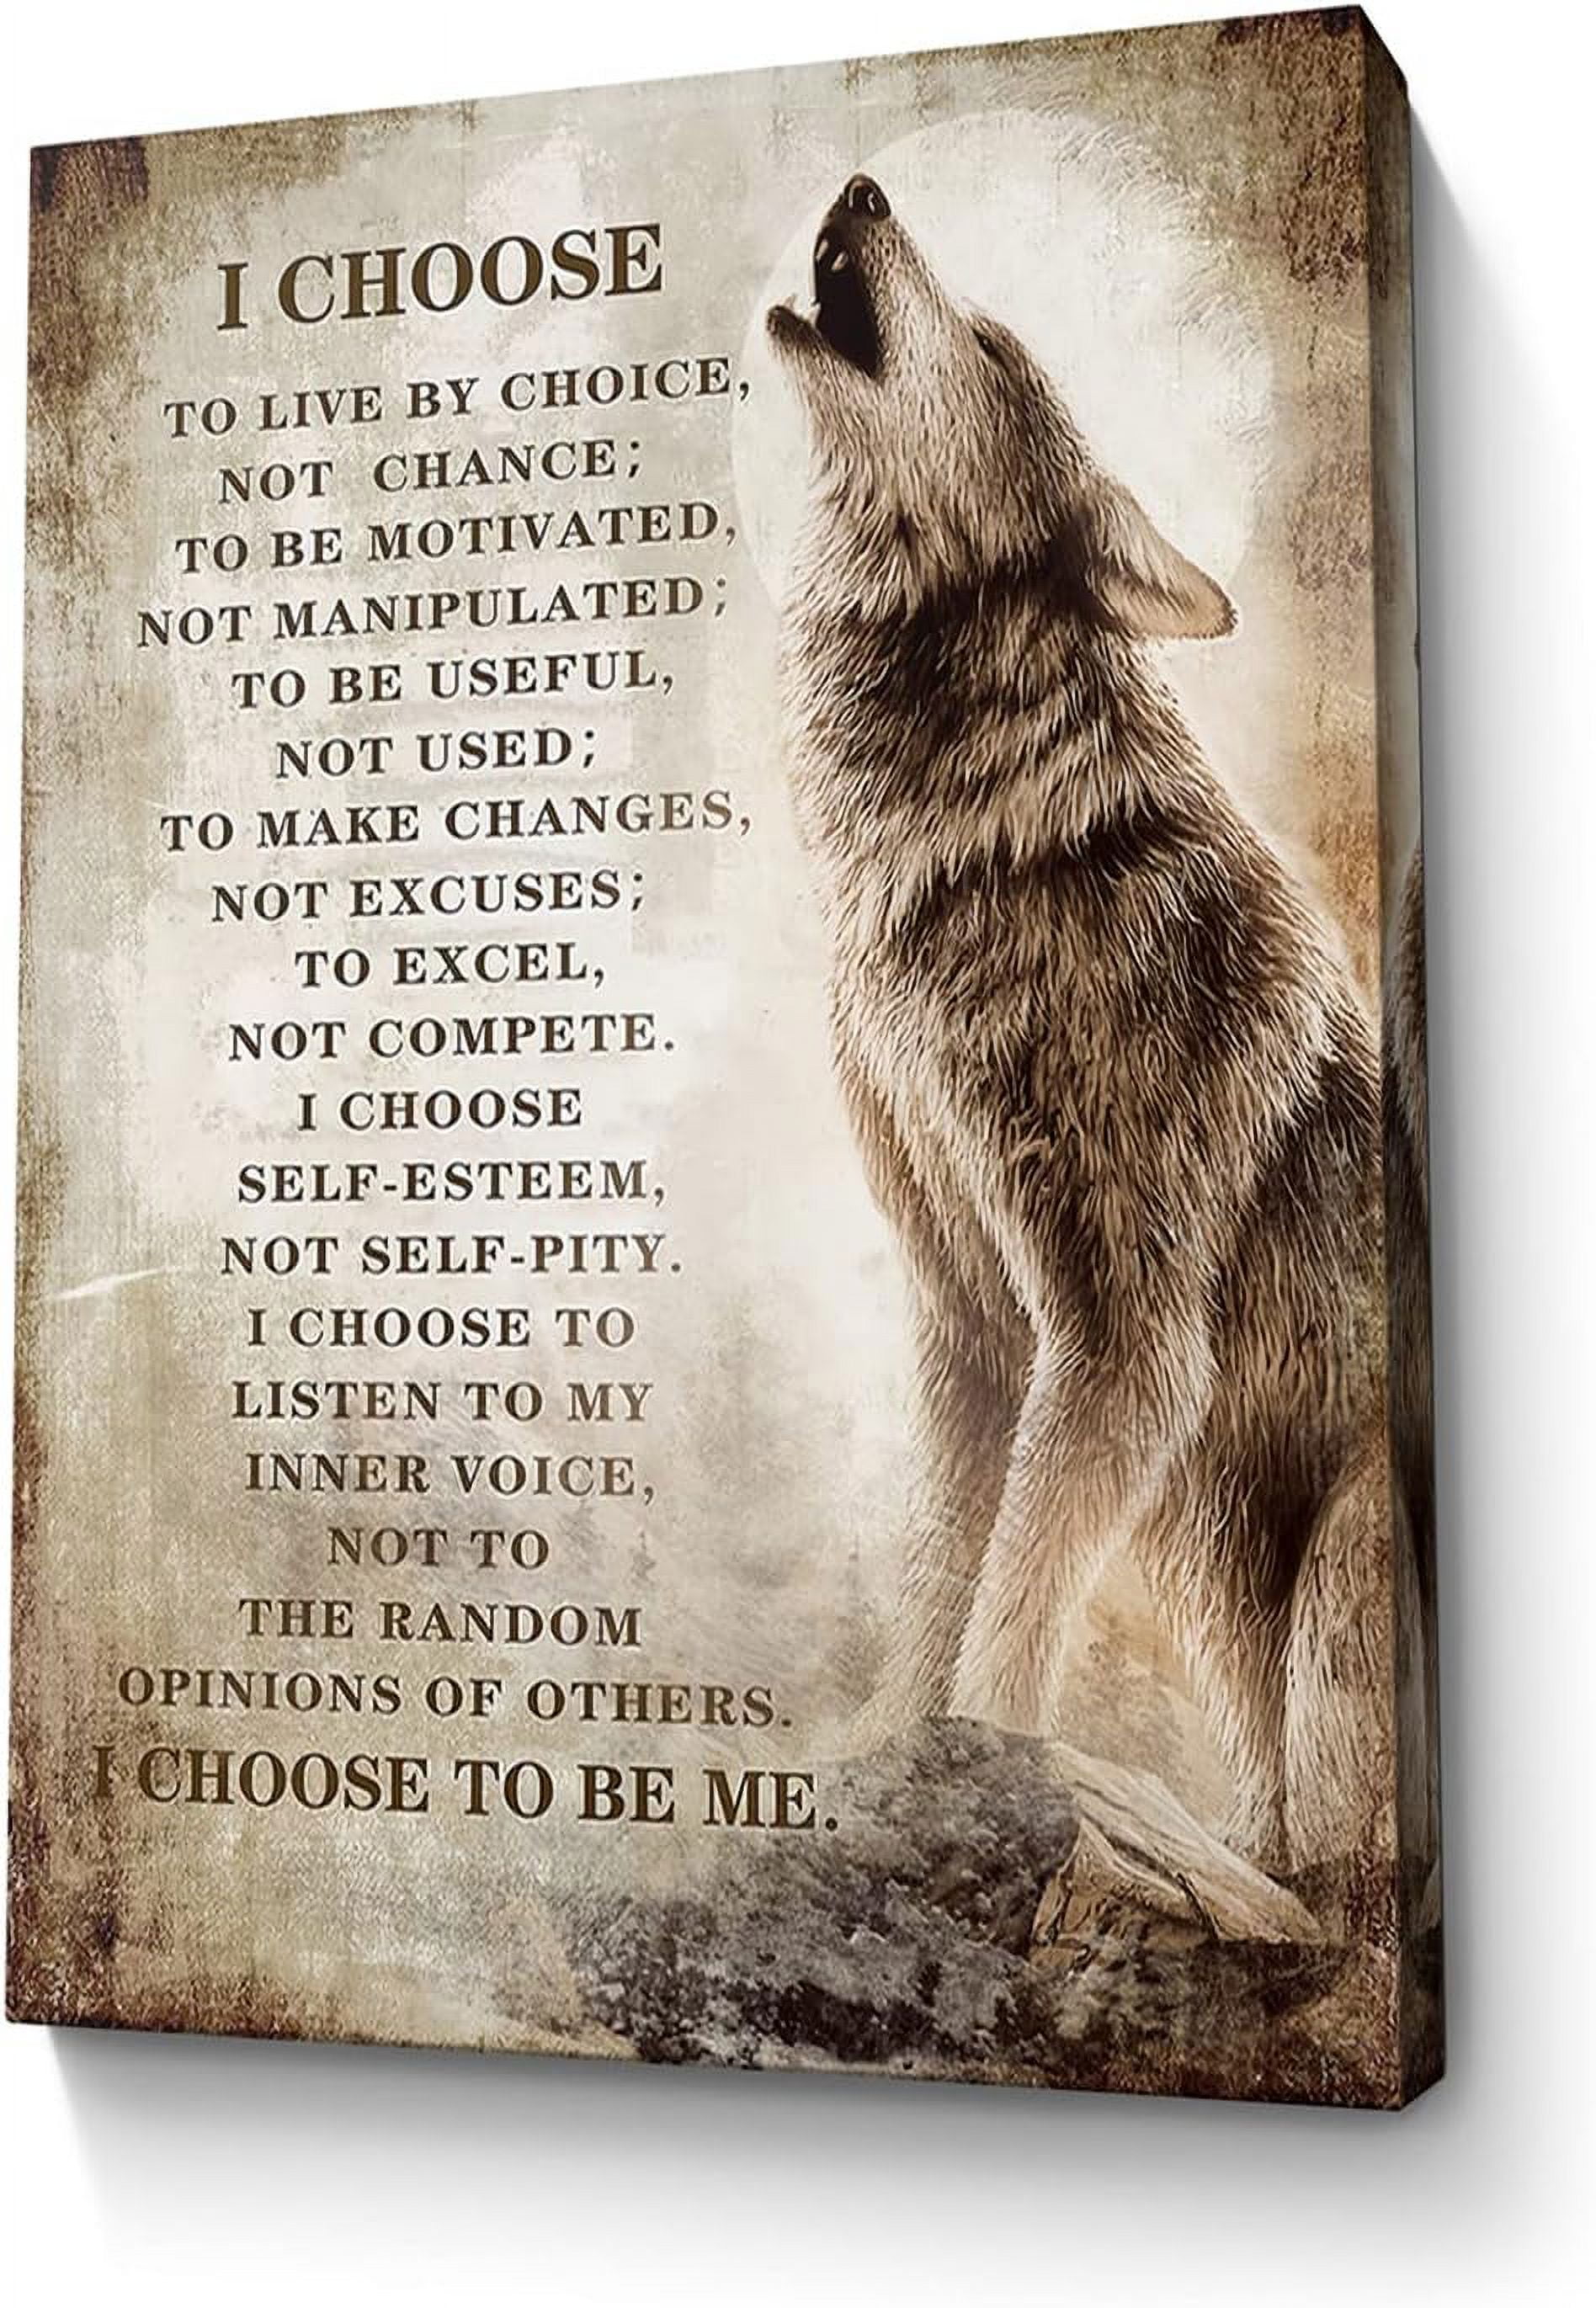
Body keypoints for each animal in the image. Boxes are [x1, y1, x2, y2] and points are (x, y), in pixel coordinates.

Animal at [769, 173, 1406, 1873]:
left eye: (994, 345)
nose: (859, 185)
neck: (991, 841)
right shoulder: (972, 1321)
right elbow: (943, 1577)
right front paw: (875, 1754)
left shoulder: (1122, 1344)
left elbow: (1011, 1605)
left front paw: (989, 1762)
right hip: (1220, 1565)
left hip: (1327, 1580)